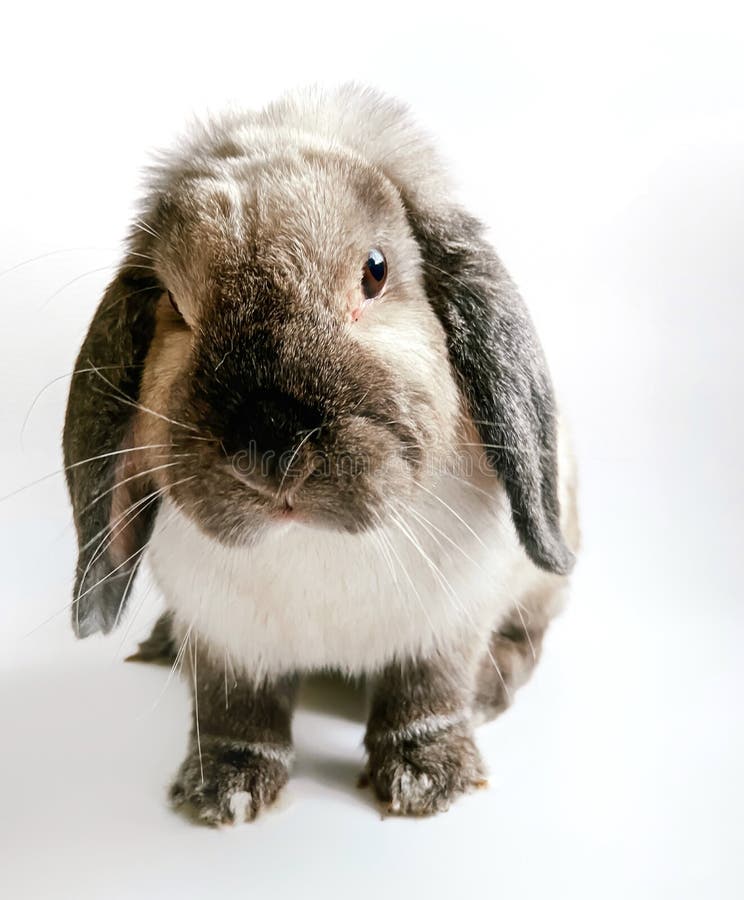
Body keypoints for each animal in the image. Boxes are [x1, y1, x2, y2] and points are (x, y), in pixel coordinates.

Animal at [63, 84, 579, 824]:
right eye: (174, 306)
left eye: (375, 271)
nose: (272, 451)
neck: (310, 546)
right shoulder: (228, 642)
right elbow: (235, 712)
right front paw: (225, 789)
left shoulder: (446, 625)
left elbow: (426, 697)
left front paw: (428, 780)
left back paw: (493, 684)